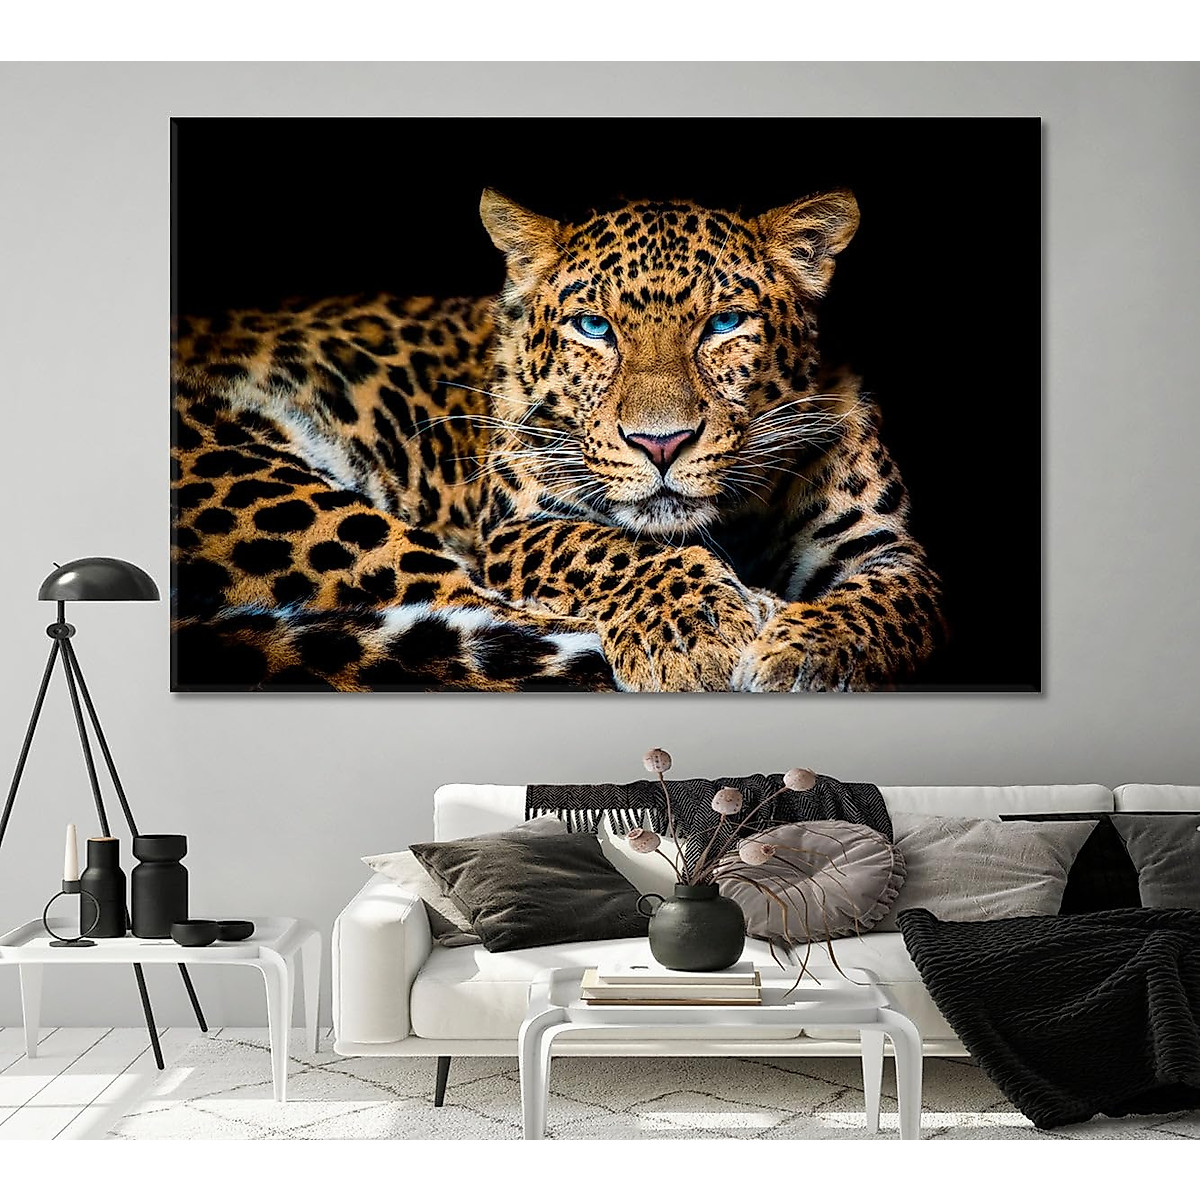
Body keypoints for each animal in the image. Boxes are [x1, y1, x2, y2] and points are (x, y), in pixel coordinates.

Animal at [171, 188, 944, 691]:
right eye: (593, 328)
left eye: (725, 323)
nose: (661, 444)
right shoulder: (519, 527)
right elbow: (610, 548)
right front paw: (698, 628)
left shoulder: (885, 548)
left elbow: (890, 606)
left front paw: (805, 654)